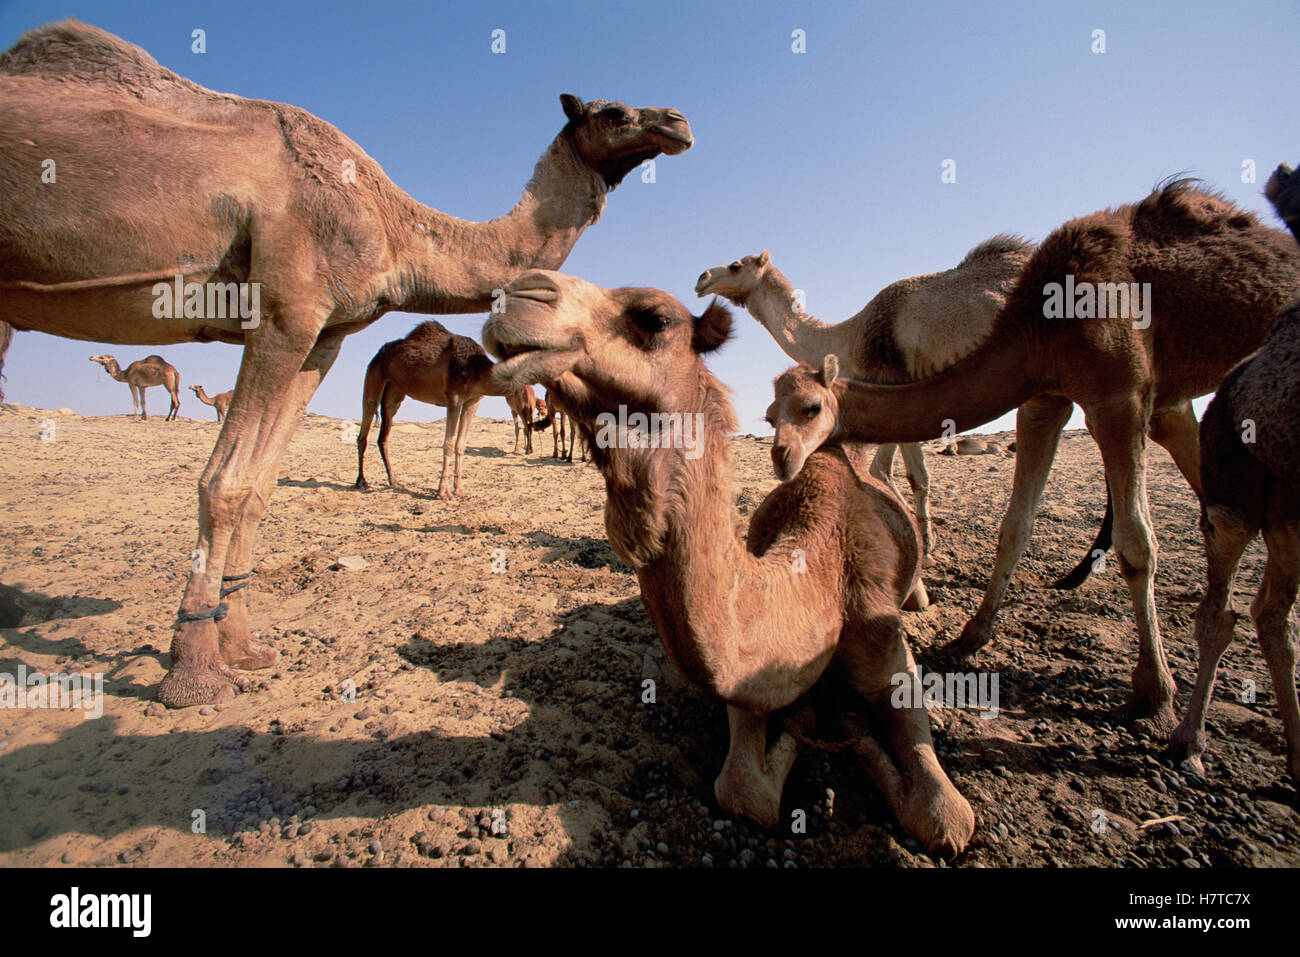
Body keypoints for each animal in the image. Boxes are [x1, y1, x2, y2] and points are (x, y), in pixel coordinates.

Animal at [0, 20, 693, 707]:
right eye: (613, 111)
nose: (679, 120)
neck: (392, 227)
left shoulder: (325, 335)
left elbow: (259, 485)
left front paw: (245, 649)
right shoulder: (287, 311)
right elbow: (225, 482)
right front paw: (194, 671)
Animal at [484, 270, 974, 858]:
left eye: (655, 318)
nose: (514, 295)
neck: (821, 583)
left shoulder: (887, 653)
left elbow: (944, 817)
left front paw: (849, 726)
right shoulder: (752, 680)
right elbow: (741, 790)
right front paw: (816, 718)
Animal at [695, 241, 1036, 563]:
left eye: (736, 265)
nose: (702, 278)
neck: (847, 339)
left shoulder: (895, 382)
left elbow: (913, 476)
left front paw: (925, 548)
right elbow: (881, 468)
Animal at [747, 180, 1300, 734]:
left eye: (810, 407)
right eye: (769, 415)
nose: (781, 459)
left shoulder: (1116, 392)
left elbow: (1136, 541)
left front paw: (1155, 691)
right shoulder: (1044, 395)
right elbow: (1014, 521)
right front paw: (969, 634)